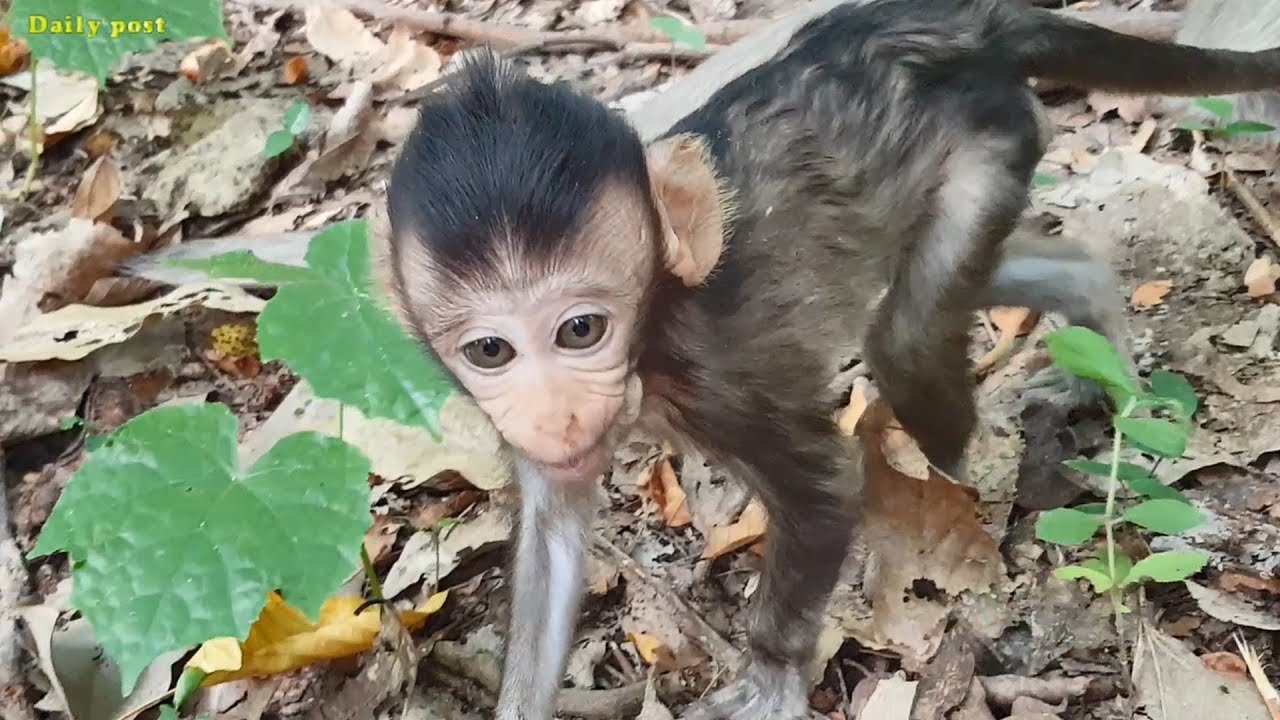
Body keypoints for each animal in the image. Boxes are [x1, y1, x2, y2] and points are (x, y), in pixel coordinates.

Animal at [369, 1, 1280, 718]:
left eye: (581, 331)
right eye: (491, 350)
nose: (554, 414)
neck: (651, 336)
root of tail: (948, 20)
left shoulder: (719, 379)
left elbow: (823, 489)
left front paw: (773, 678)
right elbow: (554, 537)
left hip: (986, 142)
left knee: (907, 339)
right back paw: (1089, 299)